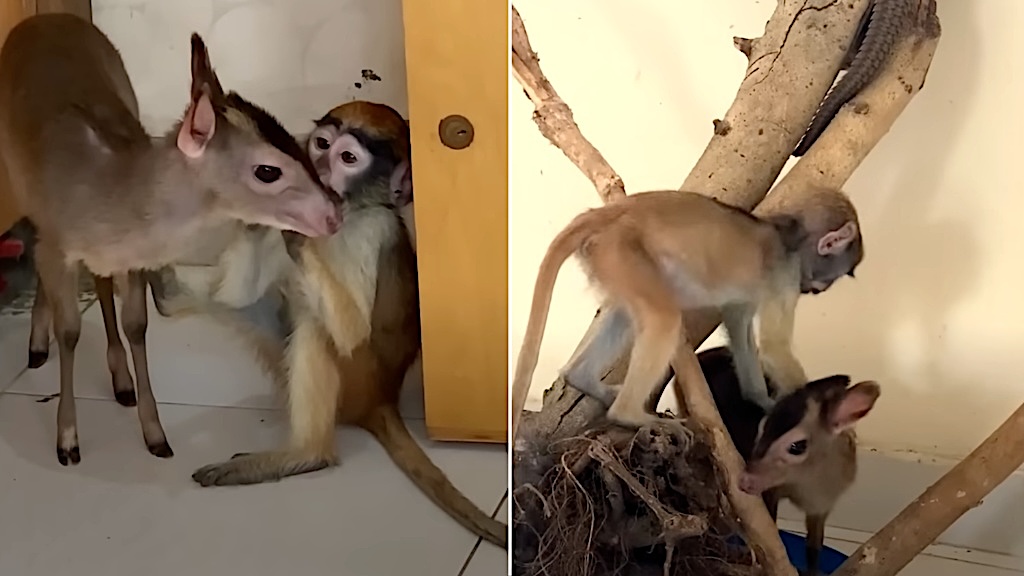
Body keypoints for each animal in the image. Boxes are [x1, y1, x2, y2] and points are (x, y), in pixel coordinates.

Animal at [0, 14, 340, 465]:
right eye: (268, 171)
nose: (332, 215)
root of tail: (46, 16)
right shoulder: (59, 245)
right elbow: (69, 330)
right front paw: (67, 440)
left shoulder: (129, 258)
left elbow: (137, 325)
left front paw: (154, 433)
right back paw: (39, 343)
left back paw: (119, 380)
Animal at [510, 189, 863, 441]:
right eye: (838, 272)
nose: (819, 288)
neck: (789, 235)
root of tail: (615, 212)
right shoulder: (786, 276)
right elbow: (775, 347)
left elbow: (739, 326)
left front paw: (762, 400)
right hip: (619, 249)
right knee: (663, 318)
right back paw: (627, 413)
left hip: (608, 255)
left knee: (626, 314)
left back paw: (580, 378)